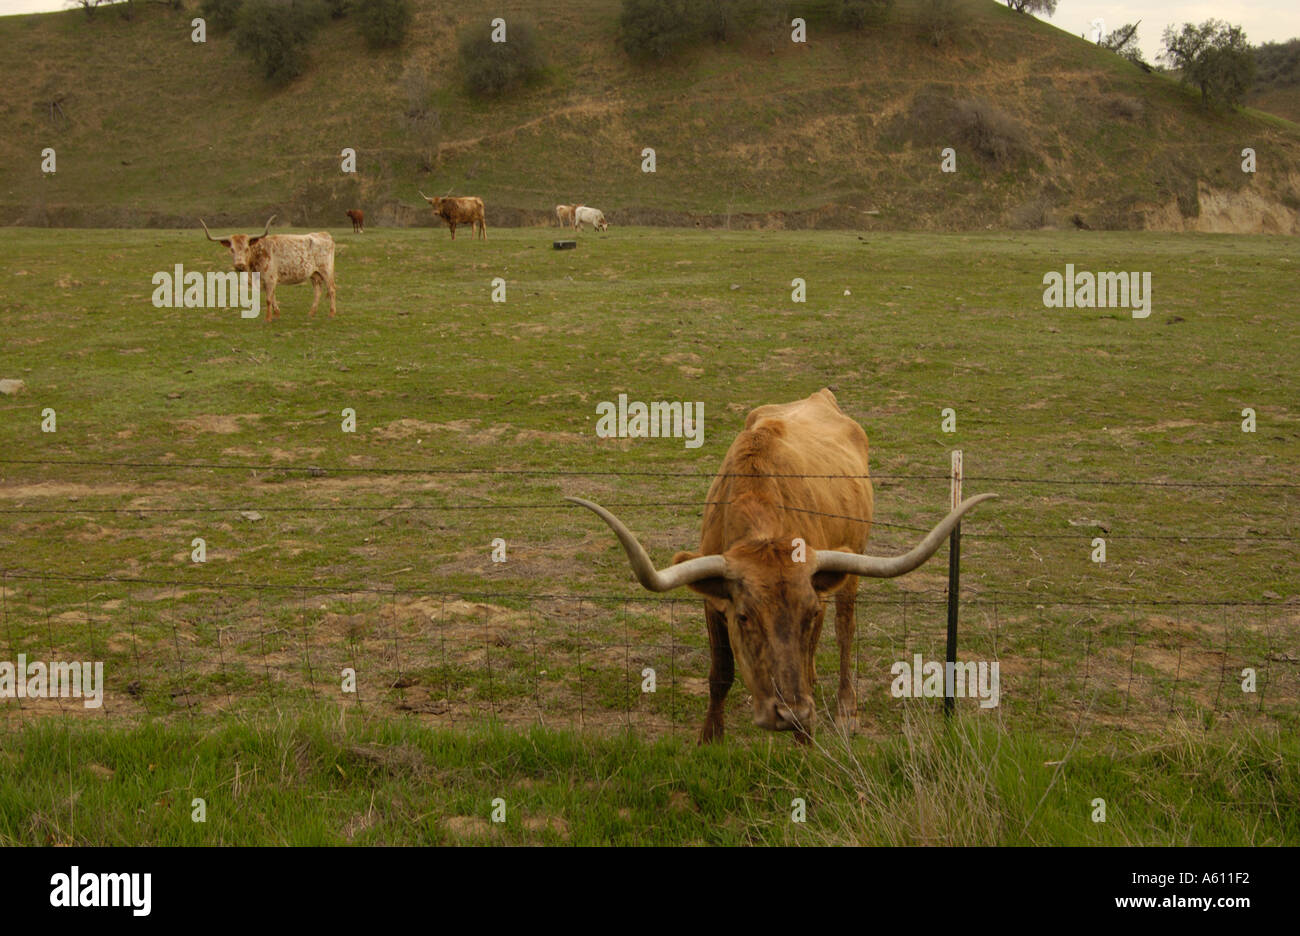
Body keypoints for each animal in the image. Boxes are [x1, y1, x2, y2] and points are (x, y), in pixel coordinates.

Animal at [200, 215, 336, 323]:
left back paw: (331, 314)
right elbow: (272, 297)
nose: (239, 265)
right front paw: (276, 315)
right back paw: (311, 313)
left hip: (326, 270)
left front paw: (268, 319)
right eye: (232, 249)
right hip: (314, 273)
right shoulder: (266, 280)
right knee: (318, 291)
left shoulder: (270, 278)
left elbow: (268, 299)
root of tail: (324, 234)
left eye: (246, 248)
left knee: (331, 289)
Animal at [567, 389, 996, 743]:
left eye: (807, 612)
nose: (791, 714)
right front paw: (710, 737)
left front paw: (806, 738)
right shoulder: (712, 603)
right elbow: (720, 674)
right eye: (744, 617)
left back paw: (846, 709)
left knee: (845, 629)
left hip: (853, 565)